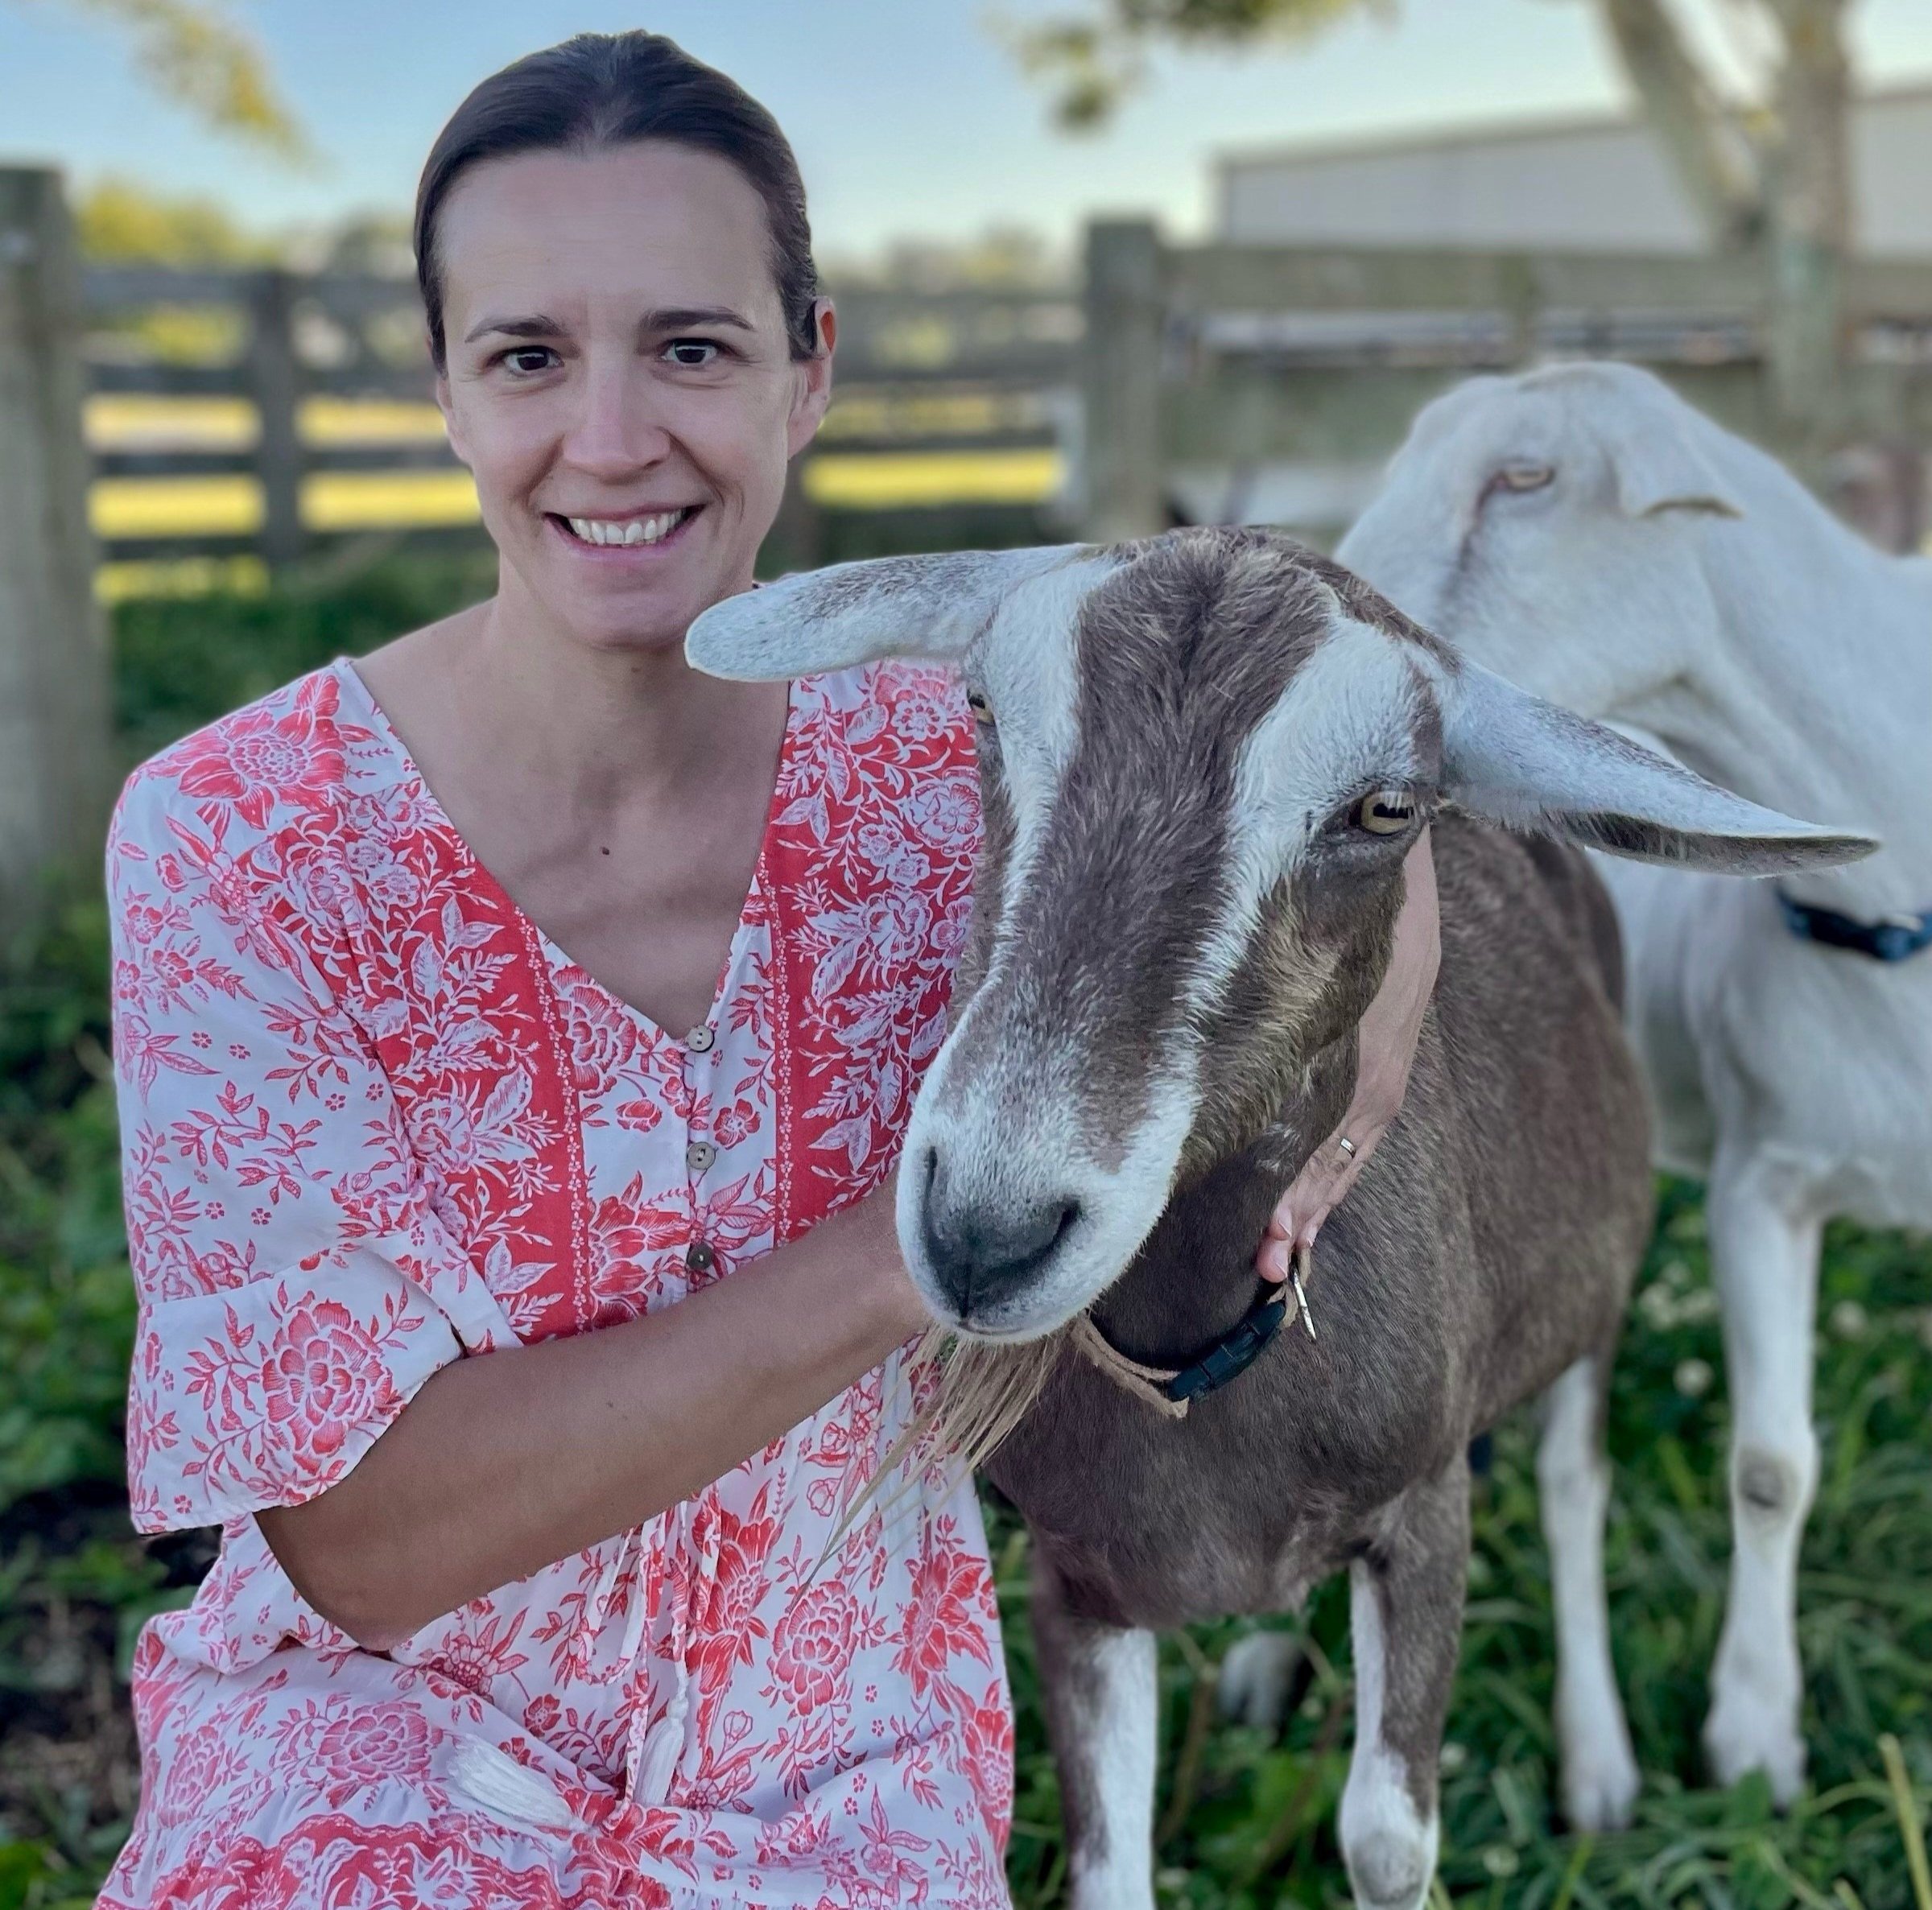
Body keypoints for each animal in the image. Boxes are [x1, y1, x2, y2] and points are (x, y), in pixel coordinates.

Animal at [686, 529, 1871, 1910]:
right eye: (980, 707)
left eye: (1386, 808)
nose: (989, 1230)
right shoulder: (1079, 1577)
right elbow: (1108, 1868)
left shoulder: (1422, 1512)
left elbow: (1386, 1839)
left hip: (1589, 1287)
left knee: (1576, 1480)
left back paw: (1598, 1763)